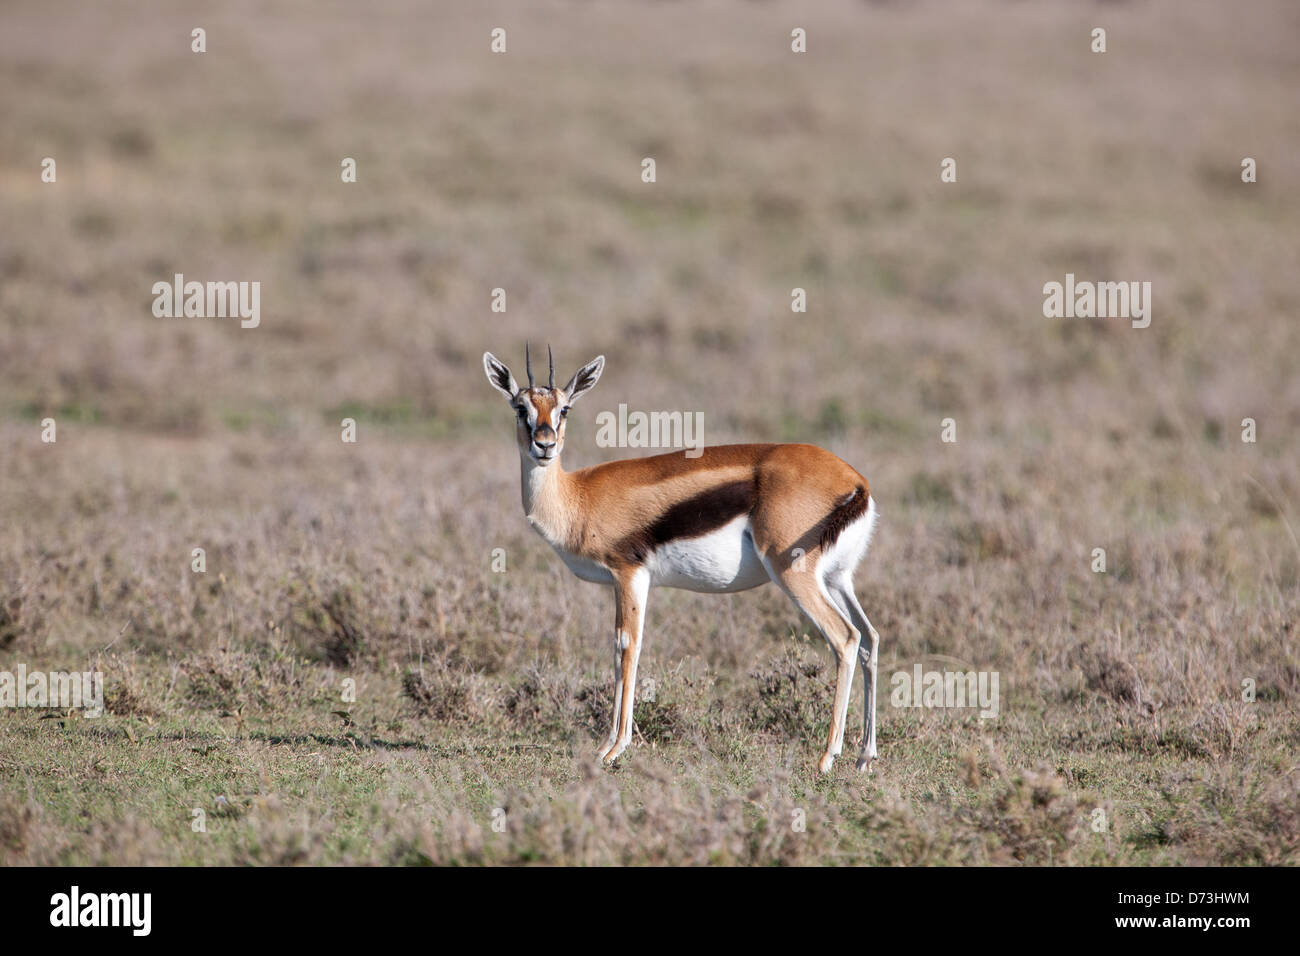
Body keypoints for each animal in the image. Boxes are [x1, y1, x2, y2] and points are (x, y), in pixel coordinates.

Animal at [483, 347, 883, 773]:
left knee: (845, 638)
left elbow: (628, 646)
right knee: (869, 637)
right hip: (837, 579)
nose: (544, 444)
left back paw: (827, 757)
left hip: (794, 574)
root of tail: (855, 483)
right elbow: (619, 649)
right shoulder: (622, 582)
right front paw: (607, 745)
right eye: (520, 407)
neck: (578, 496)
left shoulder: (629, 574)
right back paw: (865, 756)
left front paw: (614, 748)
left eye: (564, 408)